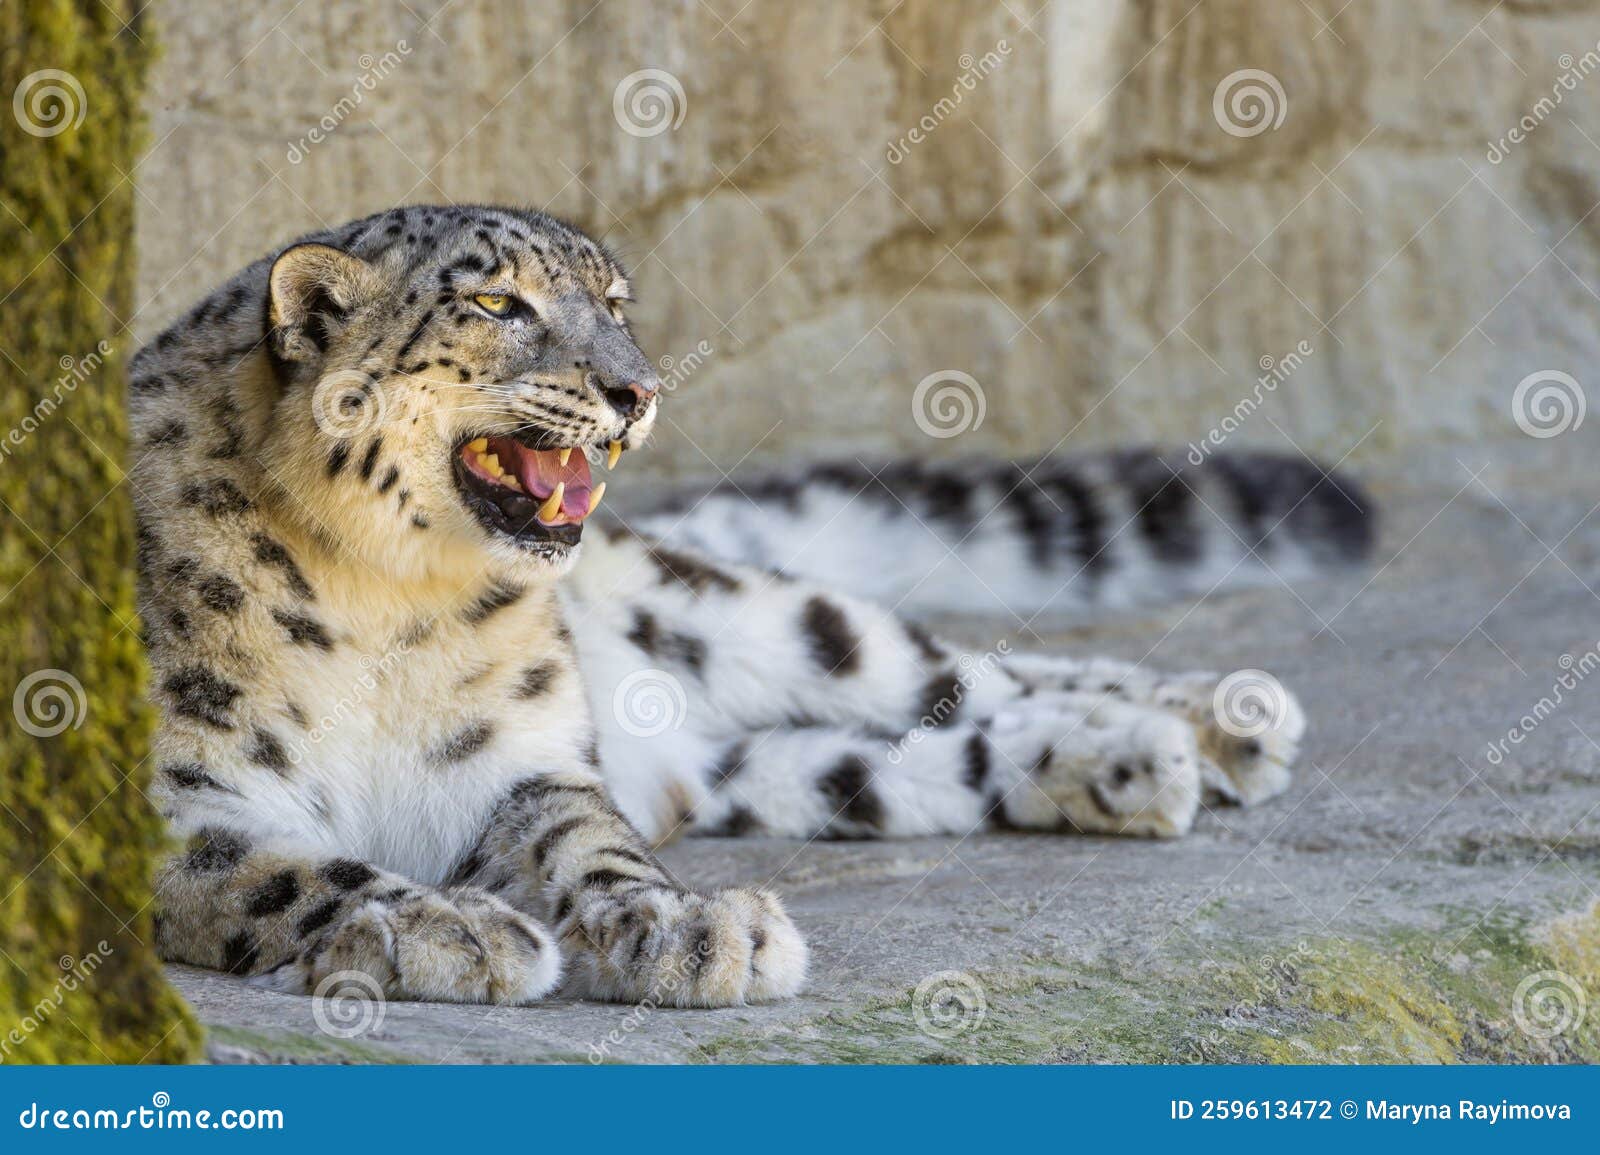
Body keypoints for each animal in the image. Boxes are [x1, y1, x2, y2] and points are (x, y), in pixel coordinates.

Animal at [127, 204, 1373, 1009]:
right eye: (495, 300)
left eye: (615, 302)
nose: (635, 388)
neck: (387, 602)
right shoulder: (161, 799)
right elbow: (289, 869)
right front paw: (450, 926)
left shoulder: (526, 764)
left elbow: (592, 845)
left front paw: (688, 929)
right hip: (762, 760)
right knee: (907, 760)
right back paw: (1128, 761)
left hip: (755, 621)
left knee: (965, 672)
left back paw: (1217, 723)